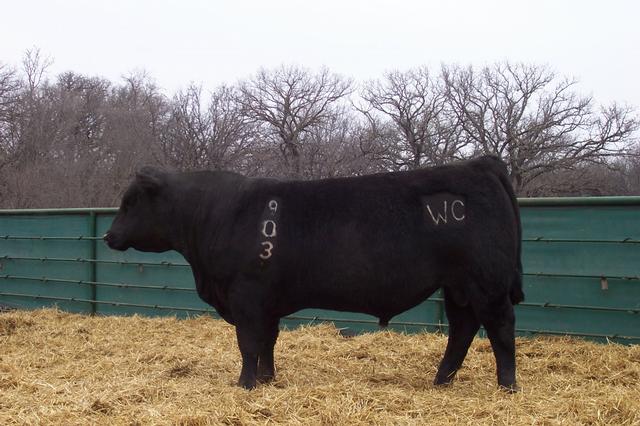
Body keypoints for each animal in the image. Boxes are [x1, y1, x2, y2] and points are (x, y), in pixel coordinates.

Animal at [104, 155, 524, 391]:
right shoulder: (267, 303)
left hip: (486, 282)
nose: (108, 236)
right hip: (458, 287)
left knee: (500, 328)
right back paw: (441, 381)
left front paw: (245, 385)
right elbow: (268, 342)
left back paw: (507, 386)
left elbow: (249, 343)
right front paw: (268, 379)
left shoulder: (247, 296)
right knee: (463, 329)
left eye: (130, 201)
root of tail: (480, 164)